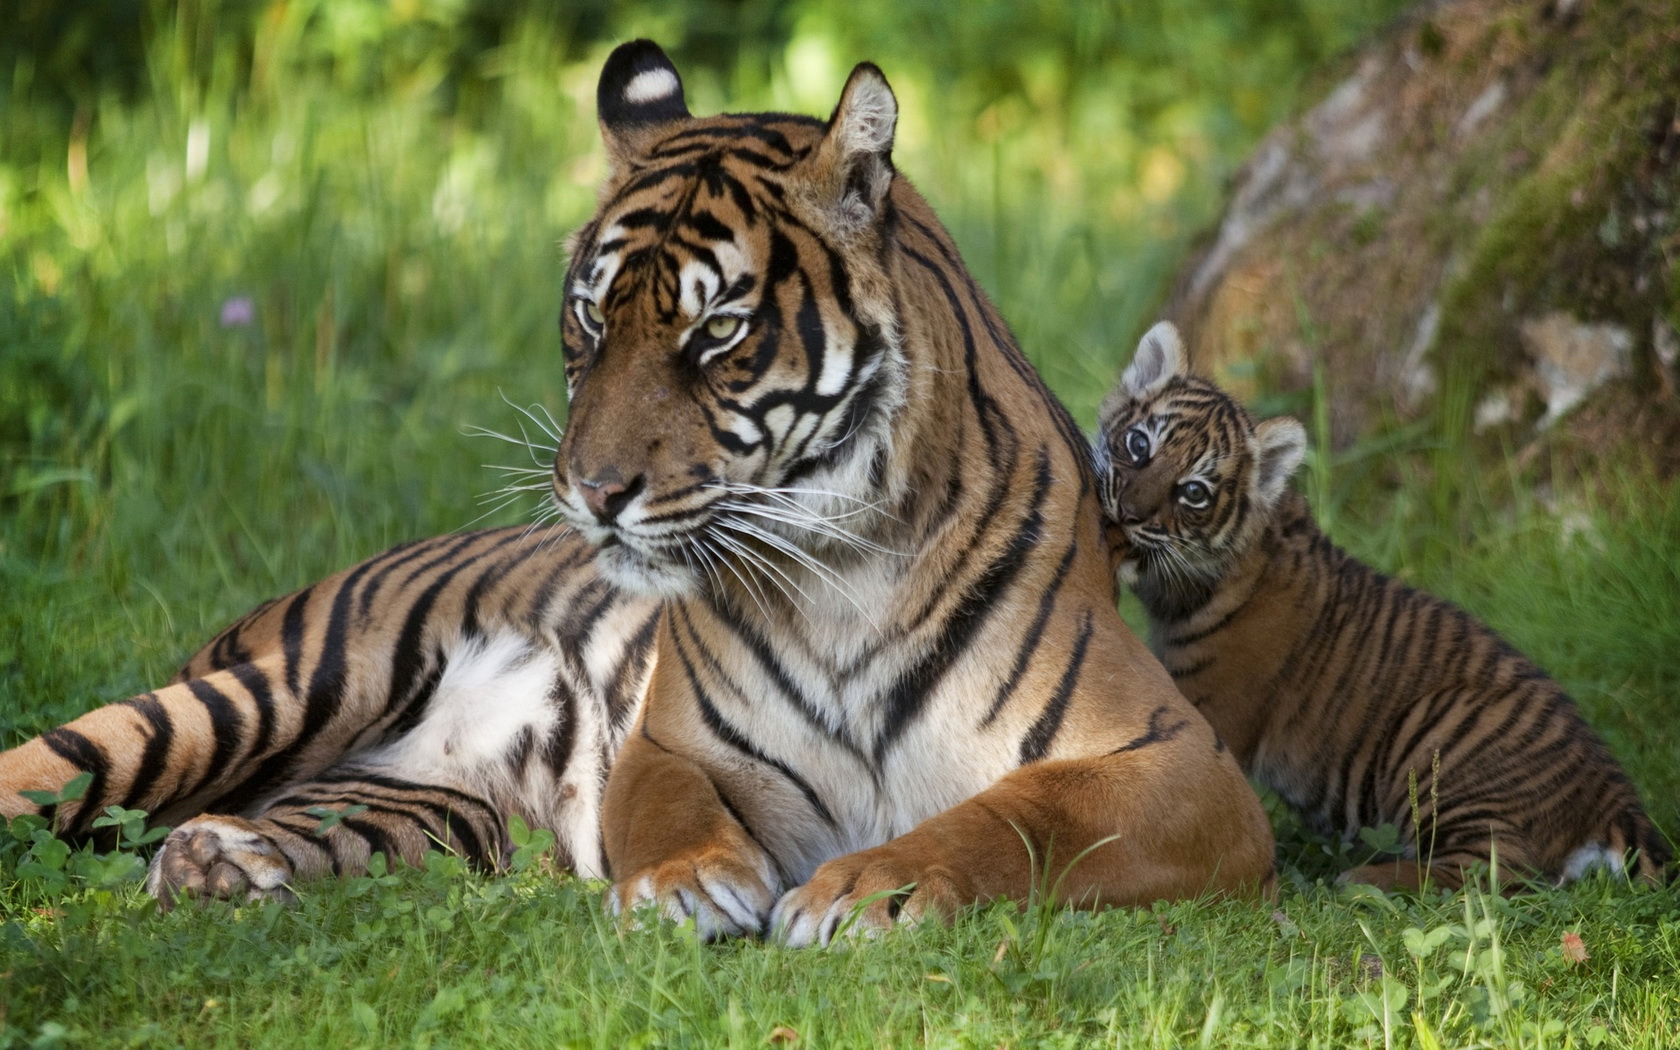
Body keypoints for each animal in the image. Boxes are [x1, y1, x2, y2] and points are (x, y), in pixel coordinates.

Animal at [0, 42, 1276, 938]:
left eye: (717, 334)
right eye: (587, 317)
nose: (591, 491)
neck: (846, 568)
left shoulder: (1185, 766)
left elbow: (1020, 814)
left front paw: (867, 890)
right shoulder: (677, 742)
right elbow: (668, 806)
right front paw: (689, 886)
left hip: (422, 811)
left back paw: (220, 864)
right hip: (259, 693)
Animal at [1093, 321, 1671, 891]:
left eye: (1194, 492)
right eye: (1139, 444)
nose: (1126, 513)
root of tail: (1616, 796)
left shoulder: (1206, 712)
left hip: (1437, 733)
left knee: (1490, 874)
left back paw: (1360, 879)